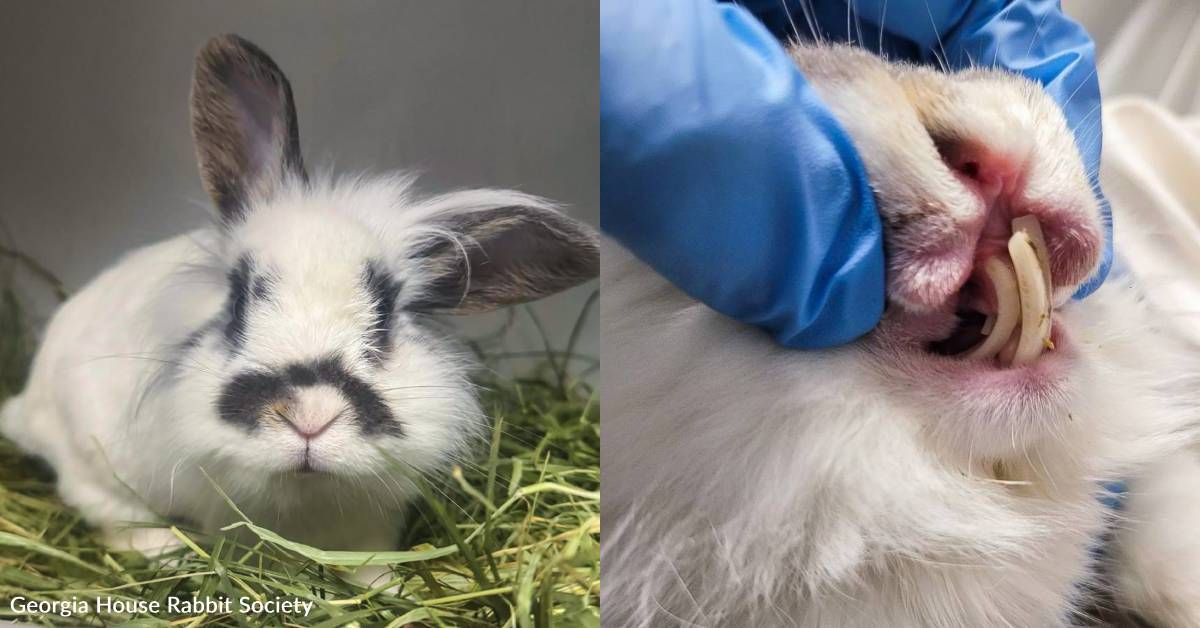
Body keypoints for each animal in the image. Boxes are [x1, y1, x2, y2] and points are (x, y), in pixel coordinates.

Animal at [0, 34, 598, 585]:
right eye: (239, 298)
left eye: (385, 317)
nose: (308, 416)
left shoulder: (371, 524)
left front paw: (384, 587)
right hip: (90, 461)